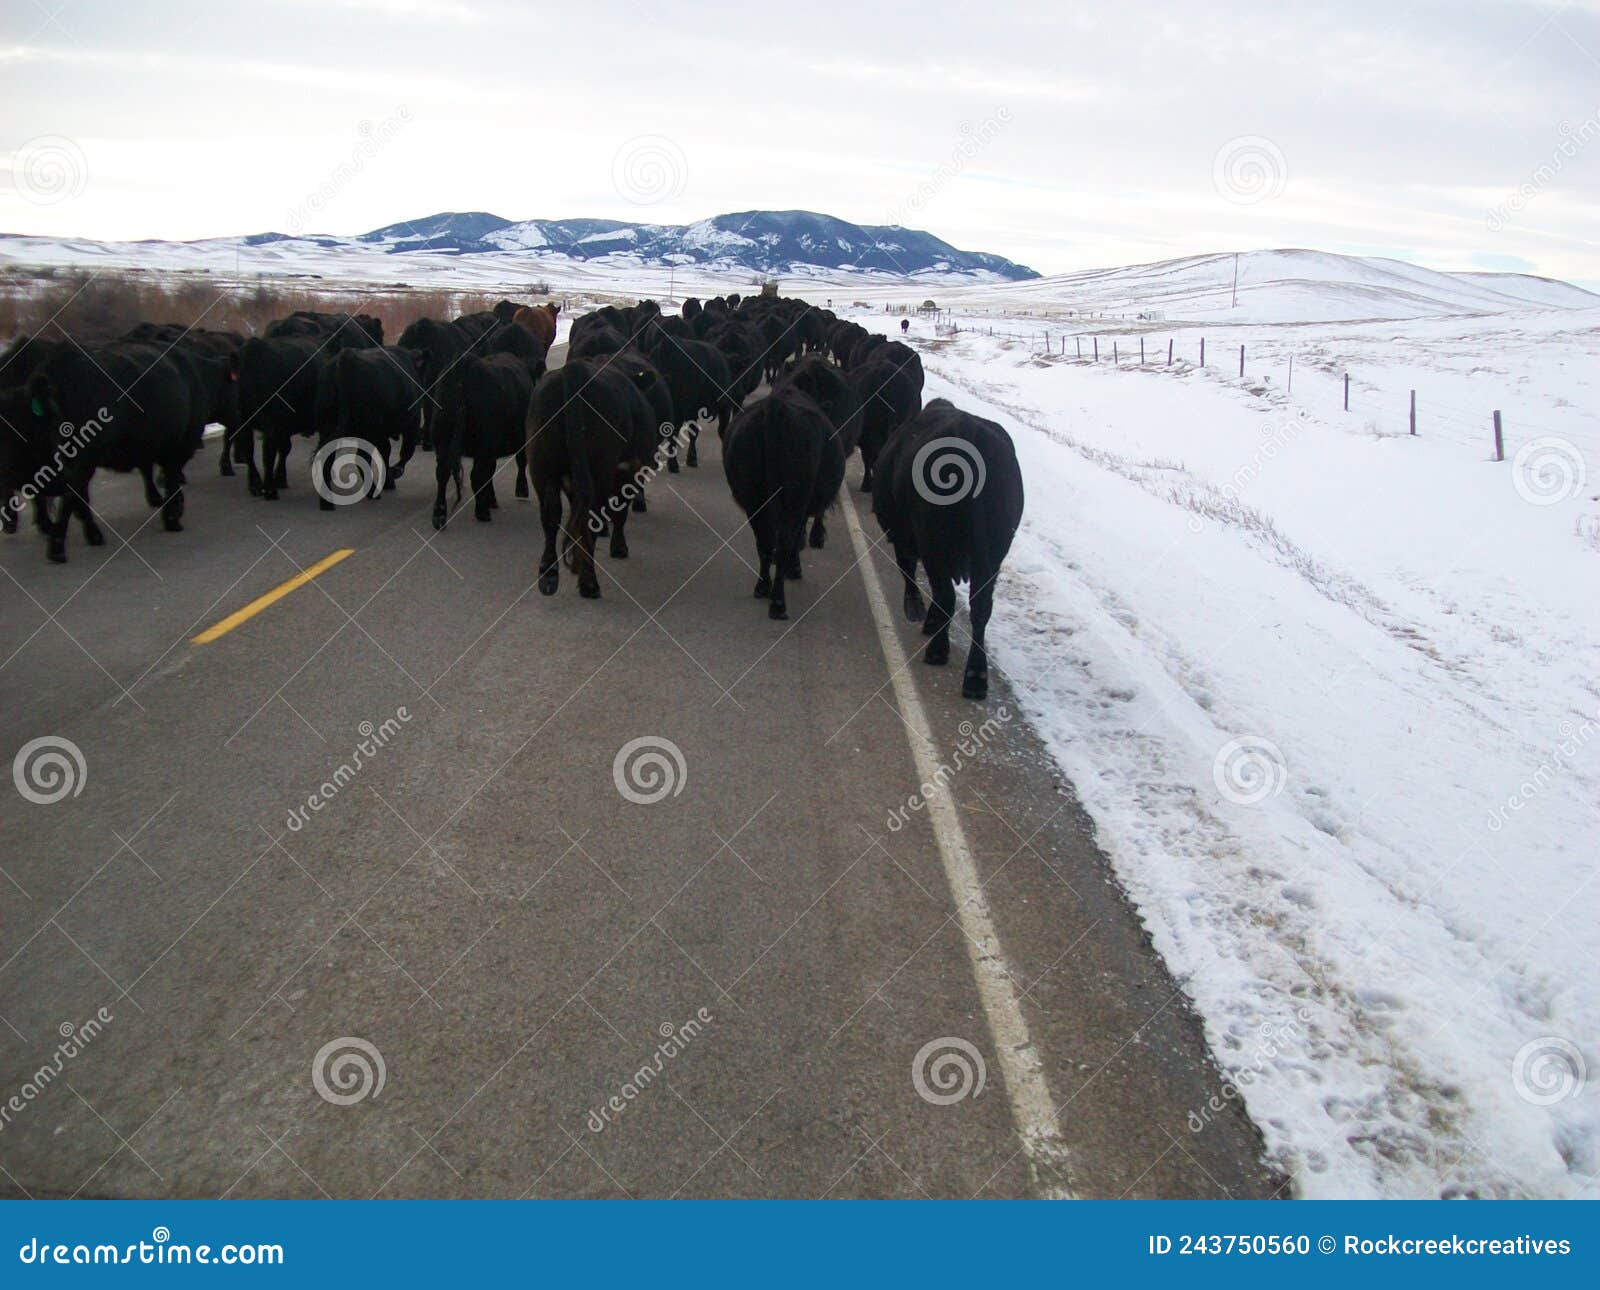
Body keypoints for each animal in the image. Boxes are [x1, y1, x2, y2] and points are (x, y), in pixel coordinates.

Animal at [721, 388, 841, 620]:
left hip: (754, 500)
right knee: (785, 540)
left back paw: (762, 587)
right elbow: (797, 535)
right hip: (795, 499)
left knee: (763, 542)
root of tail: (776, 407)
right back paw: (778, 604)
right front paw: (794, 569)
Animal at [871, 399, 1024, 700]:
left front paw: (918, 611)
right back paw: (976, 676)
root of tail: (967, 430)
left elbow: (908, 570)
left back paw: (938, 650)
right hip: (994, 552)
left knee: (946, 595)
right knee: (980, 606)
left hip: (933, 544)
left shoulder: (902, 535)